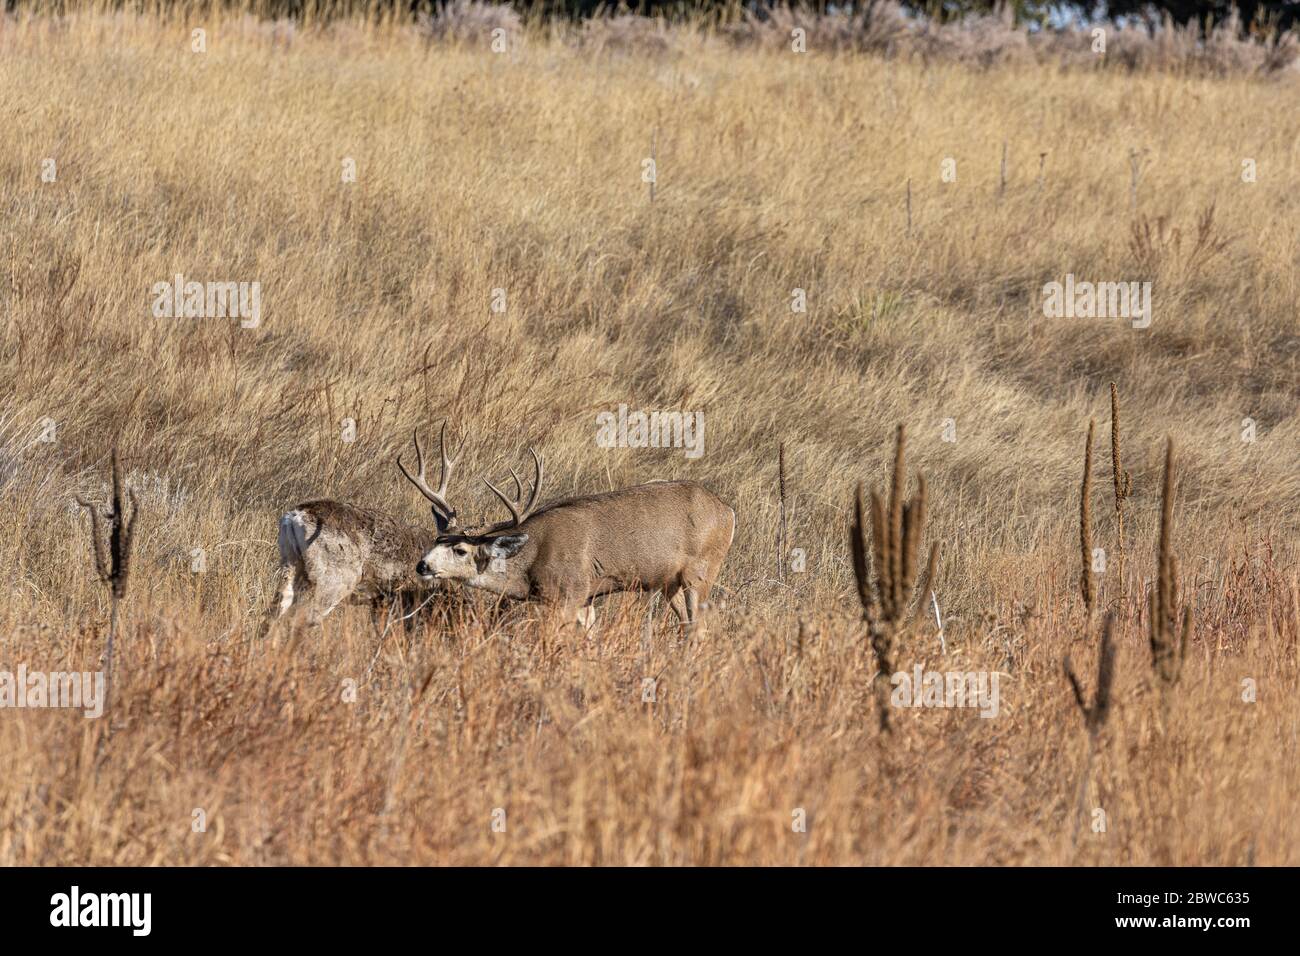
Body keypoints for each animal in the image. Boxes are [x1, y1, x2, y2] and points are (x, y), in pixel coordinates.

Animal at [405, 446, 736, 633]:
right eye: (436, 540)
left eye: (460, 550)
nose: (422, 565)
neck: (531, 562)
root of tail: (728, 512)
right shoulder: (587, 597)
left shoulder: (569, 591)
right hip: (671, 583)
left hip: (700, 571)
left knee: (699, 626)